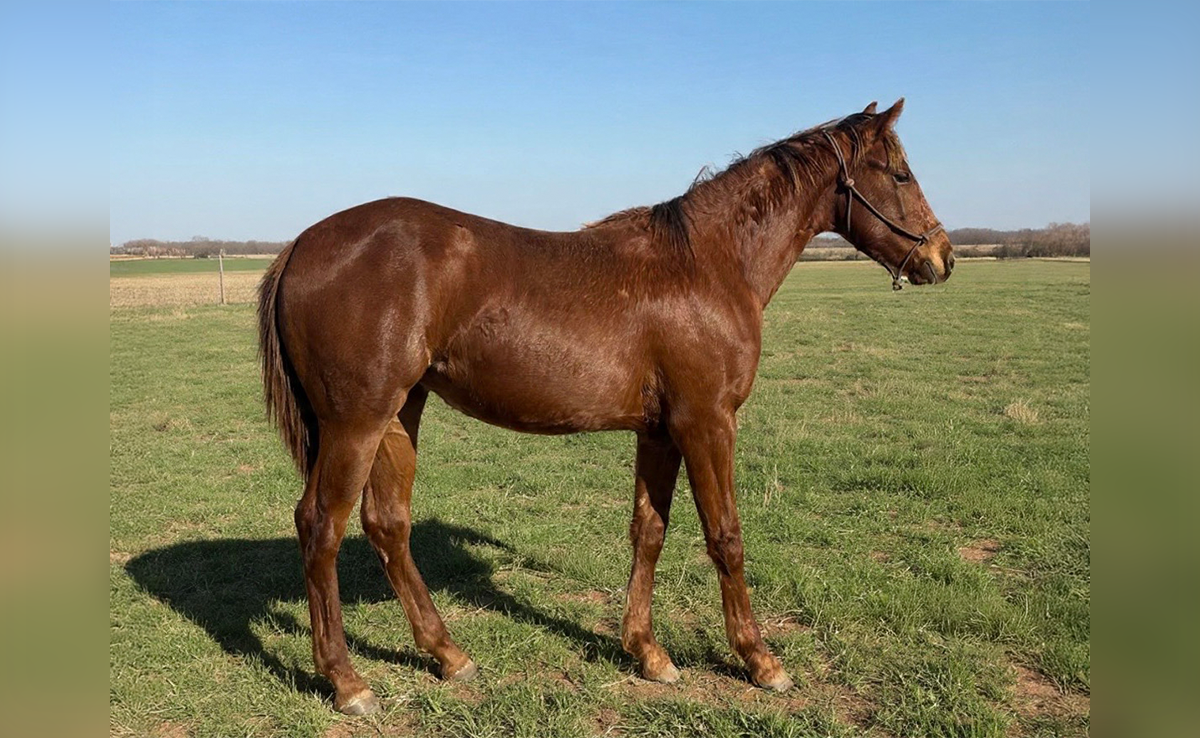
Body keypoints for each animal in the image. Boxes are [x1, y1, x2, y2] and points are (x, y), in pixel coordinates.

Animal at [257, 99, 953, 714]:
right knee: (320, 526)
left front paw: (648, 652)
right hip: (356, 422)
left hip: (399, 415)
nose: (942, 258)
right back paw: (348, 681)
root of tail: (301, 245)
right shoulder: (707, 422)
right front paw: (760, 660)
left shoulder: (660, 431)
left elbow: (650, 531)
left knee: (387, 525)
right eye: (898, 172)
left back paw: (449, 655)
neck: (707, 264)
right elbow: (725, 537)